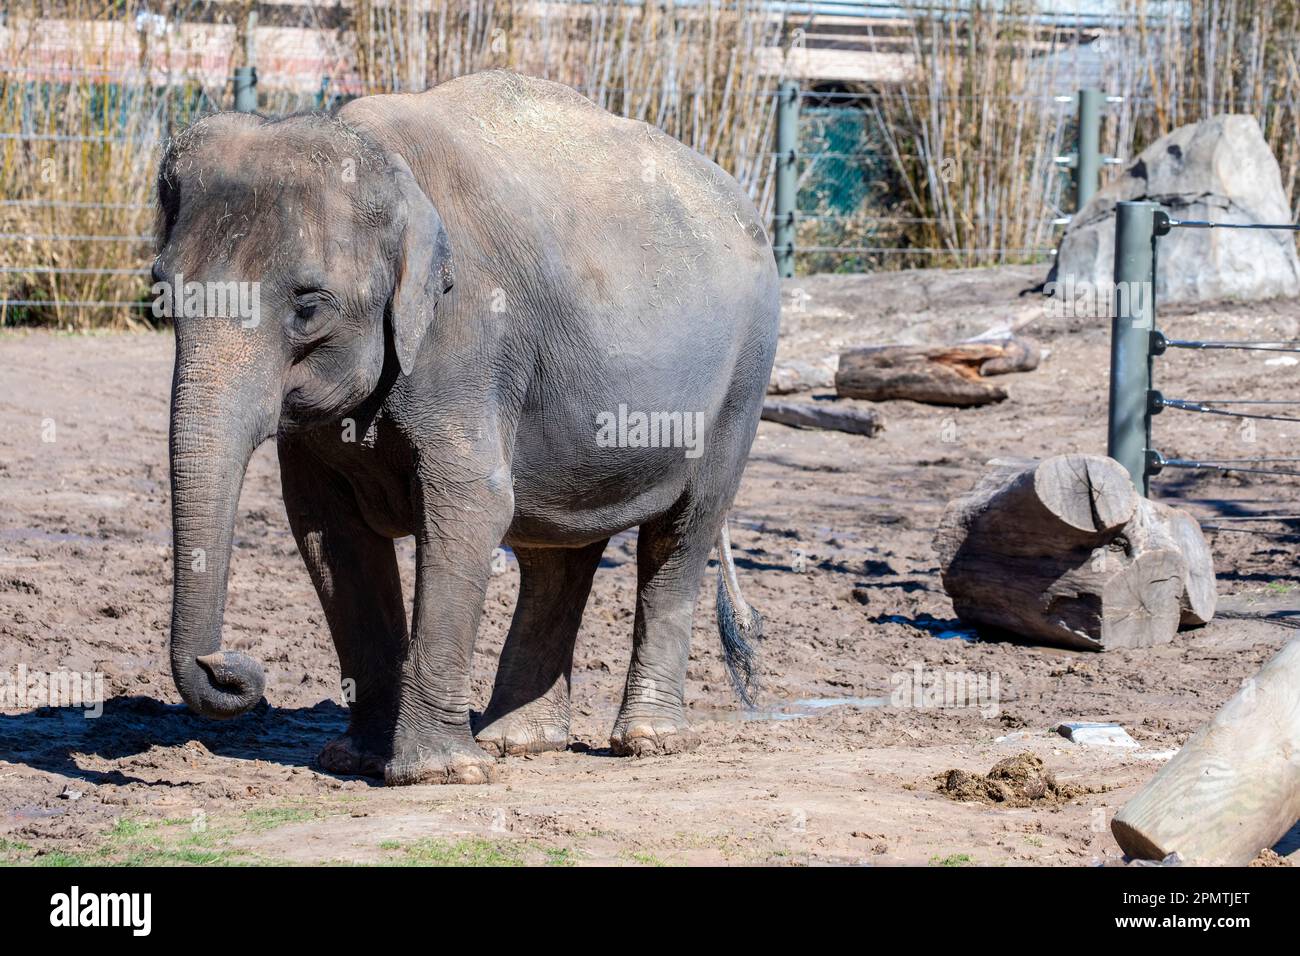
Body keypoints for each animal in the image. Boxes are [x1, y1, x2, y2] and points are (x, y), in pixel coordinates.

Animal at [156, 70, 780, 785]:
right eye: (161, 294)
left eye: (308, 307)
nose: (229, 668)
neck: (378, 154)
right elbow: (325, 530)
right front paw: (356, 759)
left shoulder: (472, 337)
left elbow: (470, 505)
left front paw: (436, 774)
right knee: (558, 549)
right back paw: (518, 742)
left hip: (744, 378)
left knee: (683, 529)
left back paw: (646, 741)